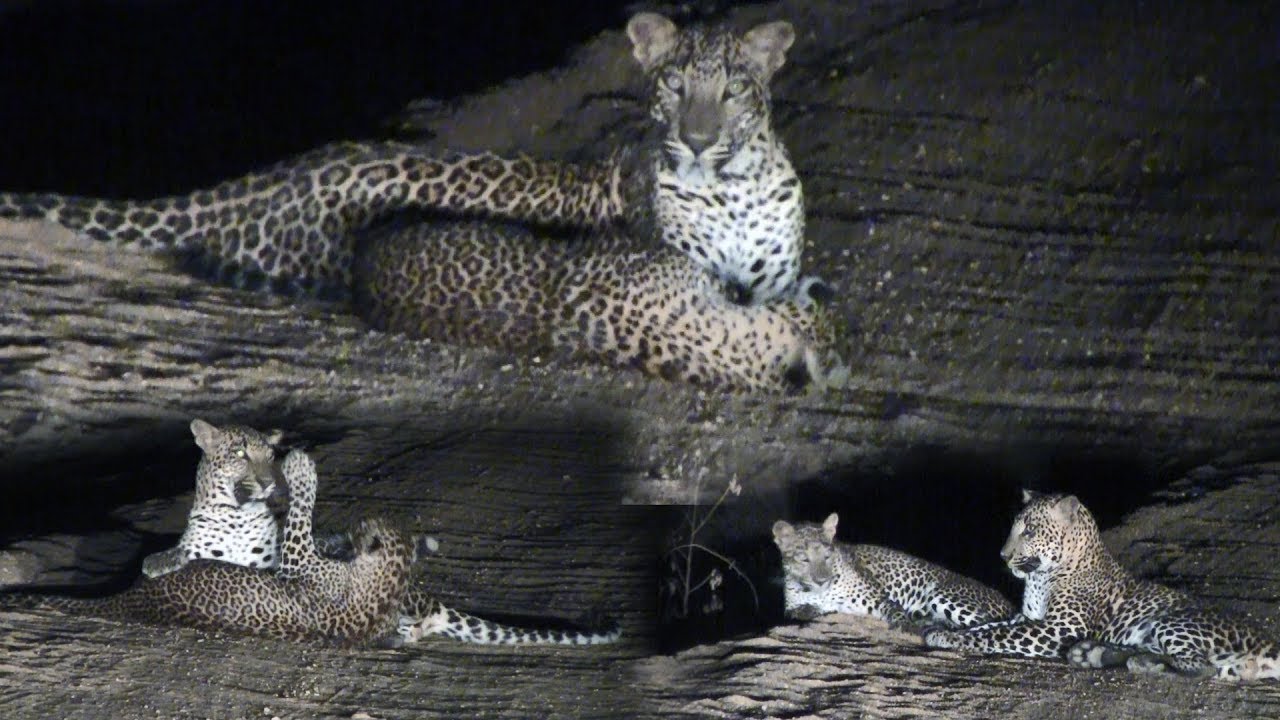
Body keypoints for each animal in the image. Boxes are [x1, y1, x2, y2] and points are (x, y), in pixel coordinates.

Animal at [4, 449, 416, 647]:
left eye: (365, 526)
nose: (358, 524)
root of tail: (130, 601)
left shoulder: (297, 563)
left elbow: (299, 520)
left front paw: (300, 469)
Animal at [140, 418, 284, 578]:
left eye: (270, 456)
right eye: (240, 453)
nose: (268, 482)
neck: (238, 516)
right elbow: (182, 549)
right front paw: (161, 560)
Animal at [773, 513, 1013, 630]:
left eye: (827, 555)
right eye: (803, 559)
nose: (822, 581)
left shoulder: (879, 599)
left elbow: (896, 612)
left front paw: (905, 624)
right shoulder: (790, 607)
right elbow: (799, 610)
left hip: (943, 594)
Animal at [922, 490, 1280, 682]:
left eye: (1030, 531)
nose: (1003, 555)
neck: (1042, 576)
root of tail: (1264, 638)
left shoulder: (1057, 628)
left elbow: (996, 635)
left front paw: (949, 637)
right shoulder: (1029, 618)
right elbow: (992, 625)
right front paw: (939, 628)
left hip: (1172, 622)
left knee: (1201, 667)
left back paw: (1128, 661)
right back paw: (1093, 654)